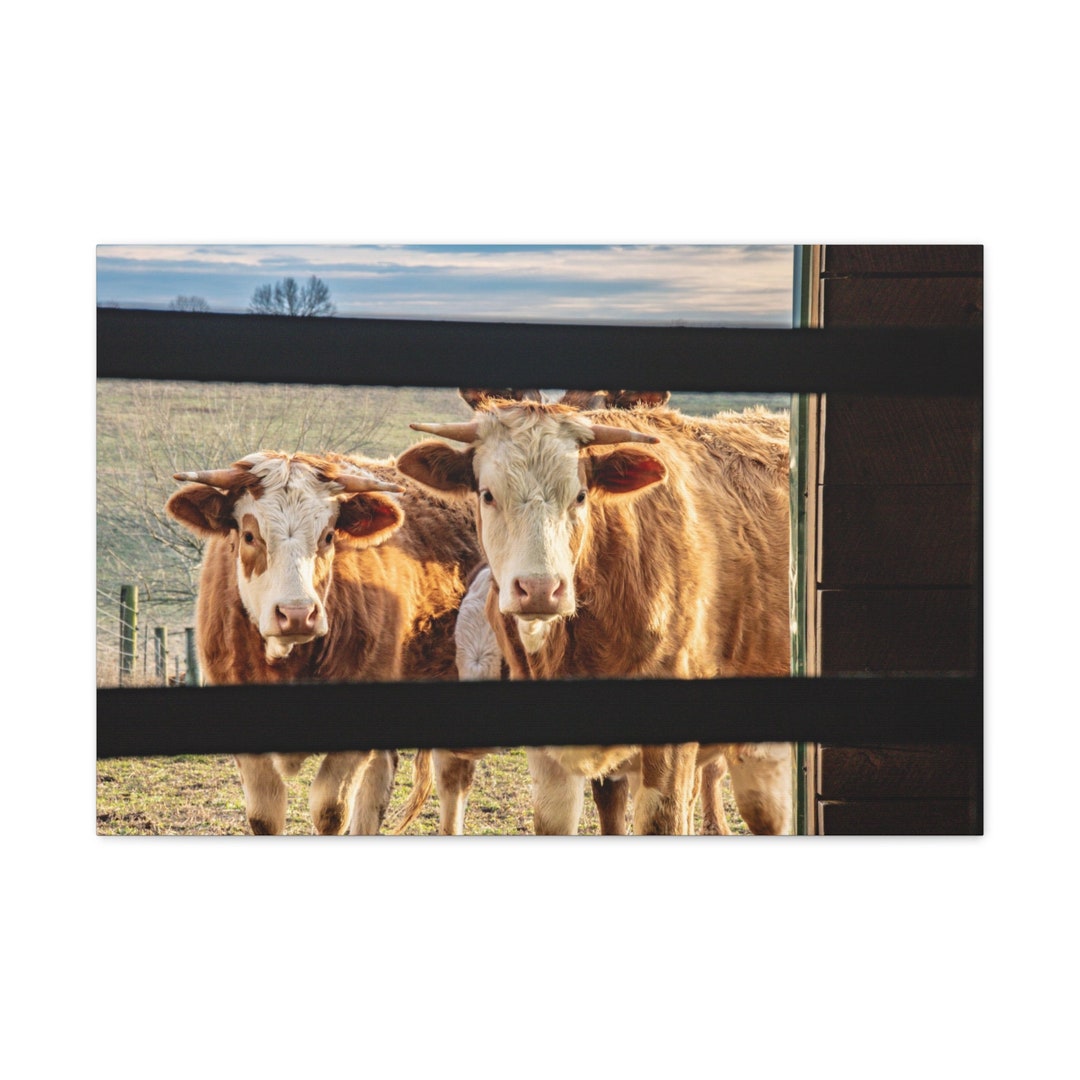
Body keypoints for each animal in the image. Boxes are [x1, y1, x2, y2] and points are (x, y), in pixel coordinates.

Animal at [165, 450, 481, 836]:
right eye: (250, 535)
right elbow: (265, 814)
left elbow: (331, 810)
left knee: (453, 776)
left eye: (329, 536)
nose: (297, 613)